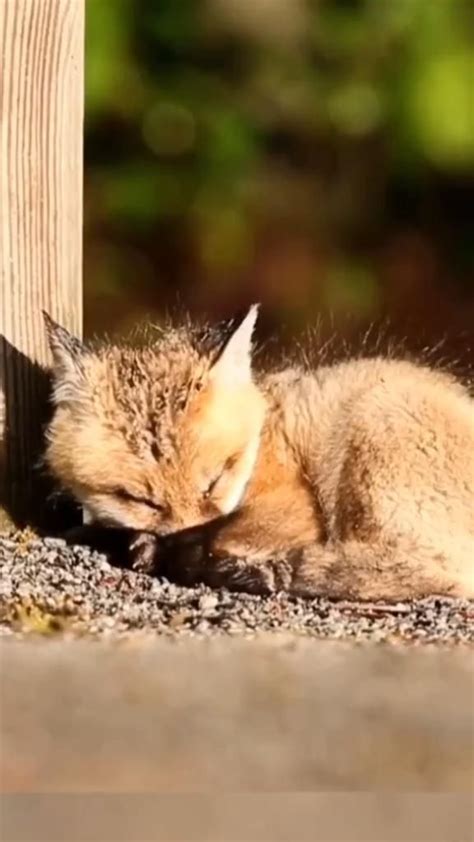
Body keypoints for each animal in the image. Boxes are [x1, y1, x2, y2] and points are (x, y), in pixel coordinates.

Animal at [43, 307, 474, 601]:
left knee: (441, 574)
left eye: (214, 481)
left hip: (370, 426)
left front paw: (171, 552)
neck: (262, 437)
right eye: (140, 500)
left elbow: (215, 532)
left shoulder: (298, 508)